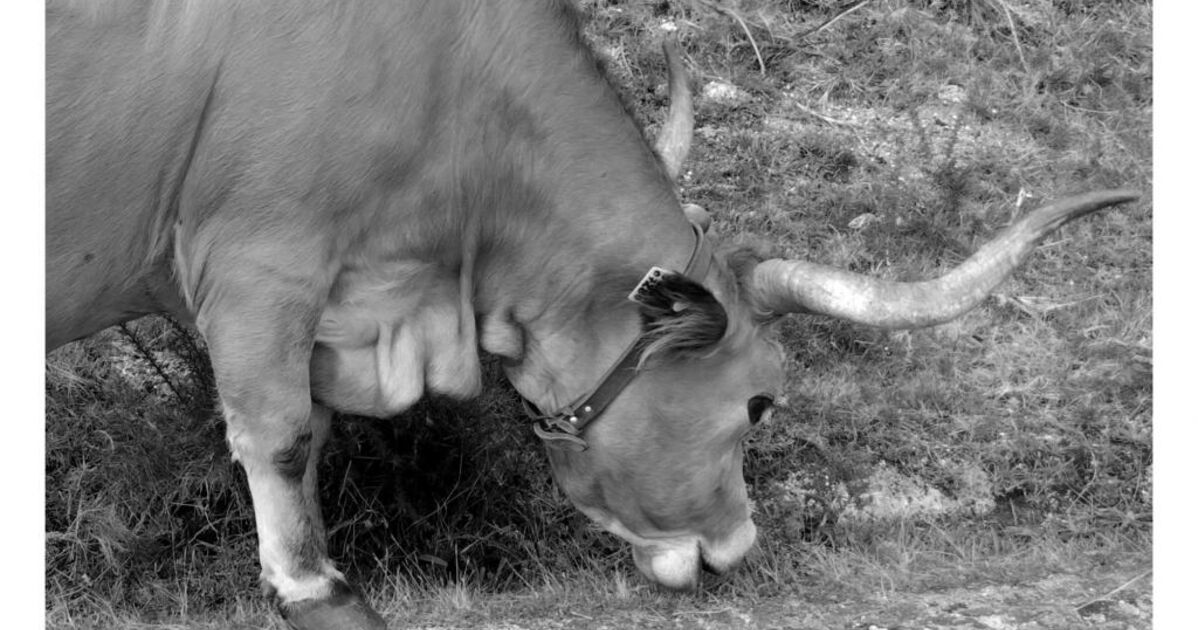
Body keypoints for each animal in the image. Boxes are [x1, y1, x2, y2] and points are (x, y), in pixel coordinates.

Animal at [46, 1, 1138, 628]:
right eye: (758, 403)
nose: (736, 544)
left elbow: (307, 437)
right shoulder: (258, 263)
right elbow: (277, 438)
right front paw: (319, 593)